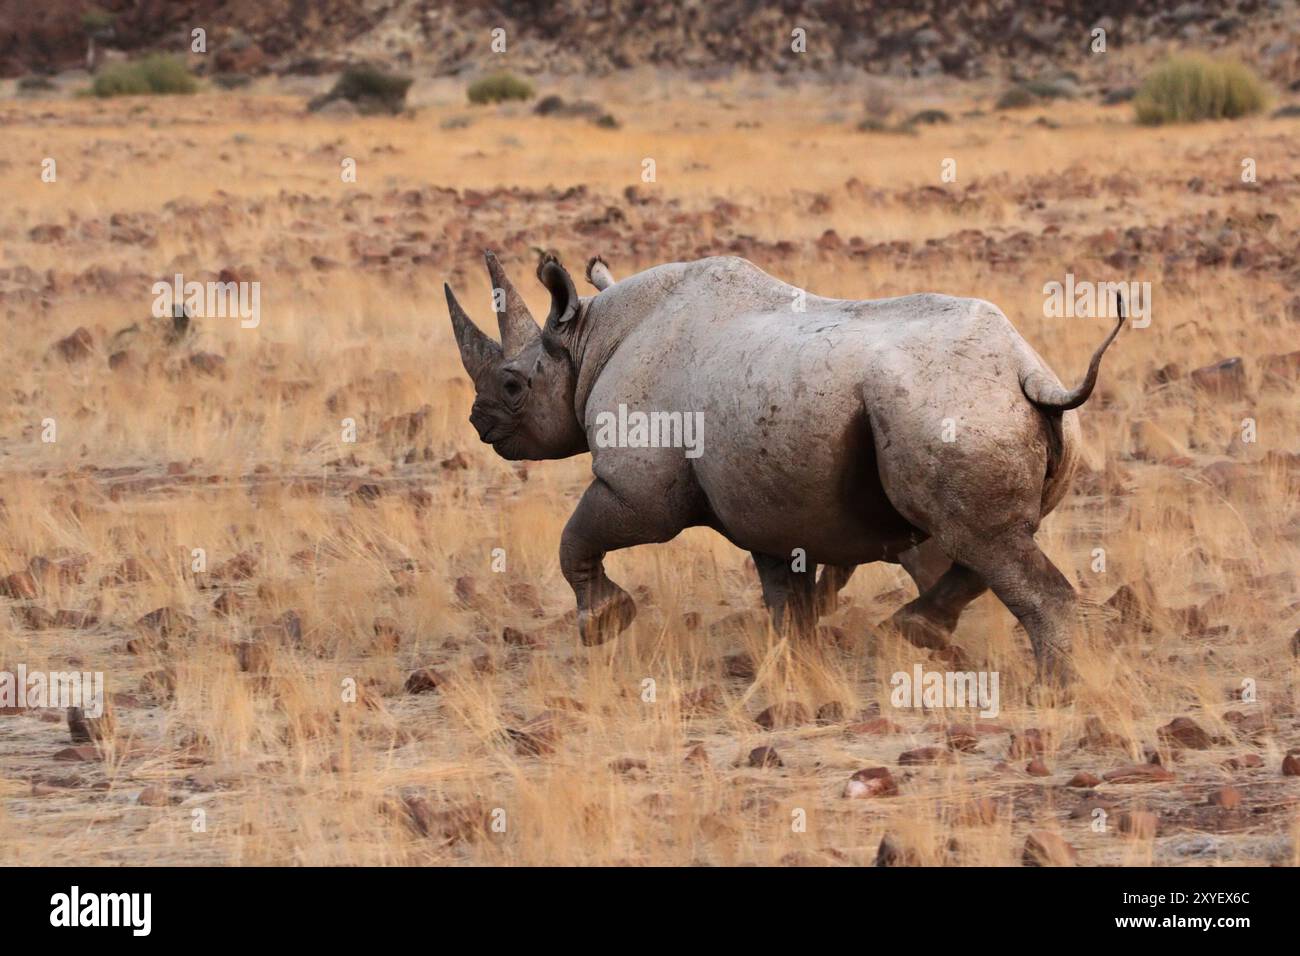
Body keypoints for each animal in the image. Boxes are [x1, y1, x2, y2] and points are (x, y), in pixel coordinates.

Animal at [445, 251, 1124, 684]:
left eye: (512, 385)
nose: (479, 421)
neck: (588, 342)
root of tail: (1026, 370)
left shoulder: (638, 491)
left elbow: (577, 537)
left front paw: (604, 626)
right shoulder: (762, 500)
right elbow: (781, 591)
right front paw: (798, 664)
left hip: (947, 404)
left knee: (977, 538)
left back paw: (1051, 693)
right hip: (972, 406)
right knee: (980, 538)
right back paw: (916, 633)